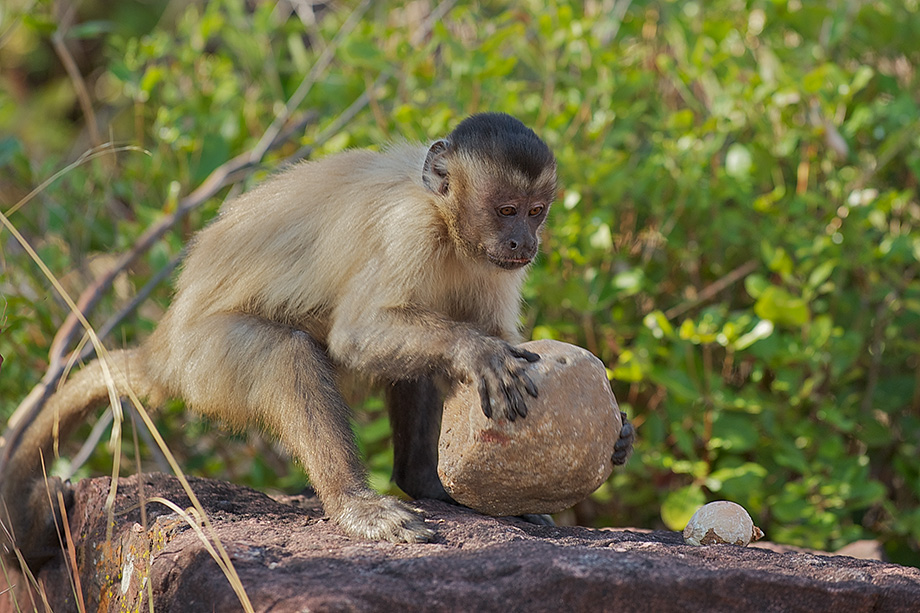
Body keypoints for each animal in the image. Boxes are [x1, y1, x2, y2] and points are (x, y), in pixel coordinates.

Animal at [1, 112, 635, 568]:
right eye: (506, 210)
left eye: (537, 211)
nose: (525, 241)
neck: (444, 218)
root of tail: (164, 350)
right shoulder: (409, 228)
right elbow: (360, 335)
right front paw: (478, 353)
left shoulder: (494, 264)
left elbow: (495, 335)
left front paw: (620, 433)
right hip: (207, 363)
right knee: (288, 354)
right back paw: (356, 505)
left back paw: (425, 485)